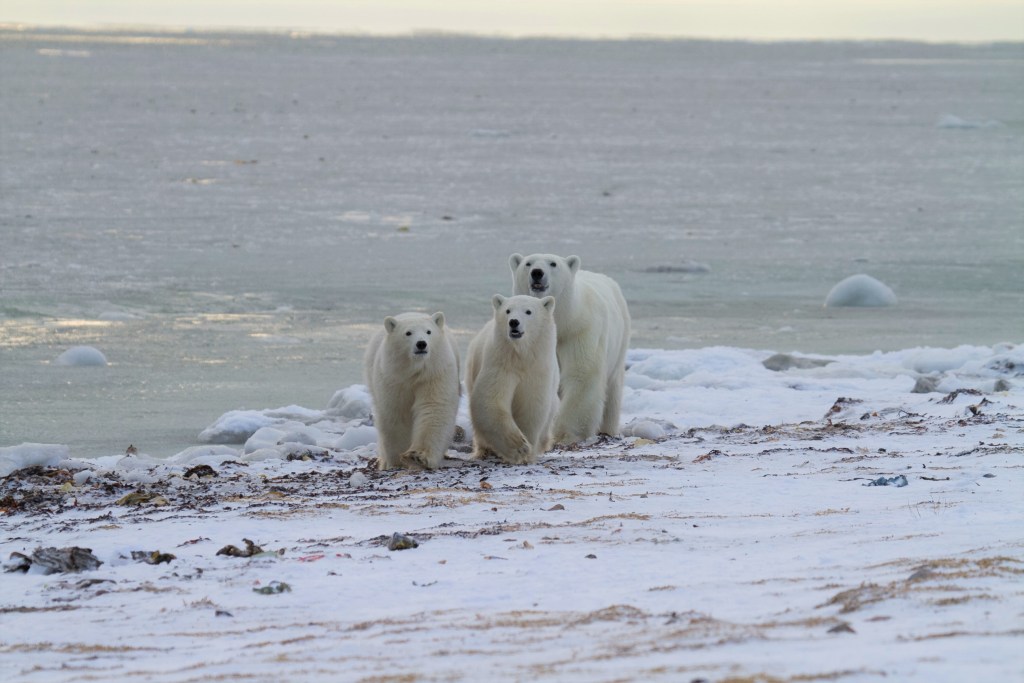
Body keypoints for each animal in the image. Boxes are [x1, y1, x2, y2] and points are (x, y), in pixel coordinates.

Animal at [364, 311, 461, 470]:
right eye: (408, 333)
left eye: (429, 331)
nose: (421, 344)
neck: (415, 370)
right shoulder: (394, 378)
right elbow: (396, 413)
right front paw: (396, 460)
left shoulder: (435, 373)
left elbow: (434, 408)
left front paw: (419, 456)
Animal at [465, 294, 559, 465]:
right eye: (508, 310)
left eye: (528, 311)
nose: (514, 322)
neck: (521, 355)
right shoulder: (501, 362)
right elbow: (490, 400)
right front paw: (520, 448)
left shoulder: (537, 368)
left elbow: (531, 404)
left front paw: (528, 451)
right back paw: (484, 450)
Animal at [510, 253, 630, 444]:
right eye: (528, 263)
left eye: (553, 263)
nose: (537, 273)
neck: (563, 320)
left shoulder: (580, 331)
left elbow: (582, 372)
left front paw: (564, 434)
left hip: (619, 341)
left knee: (612, 388)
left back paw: (608, 429)